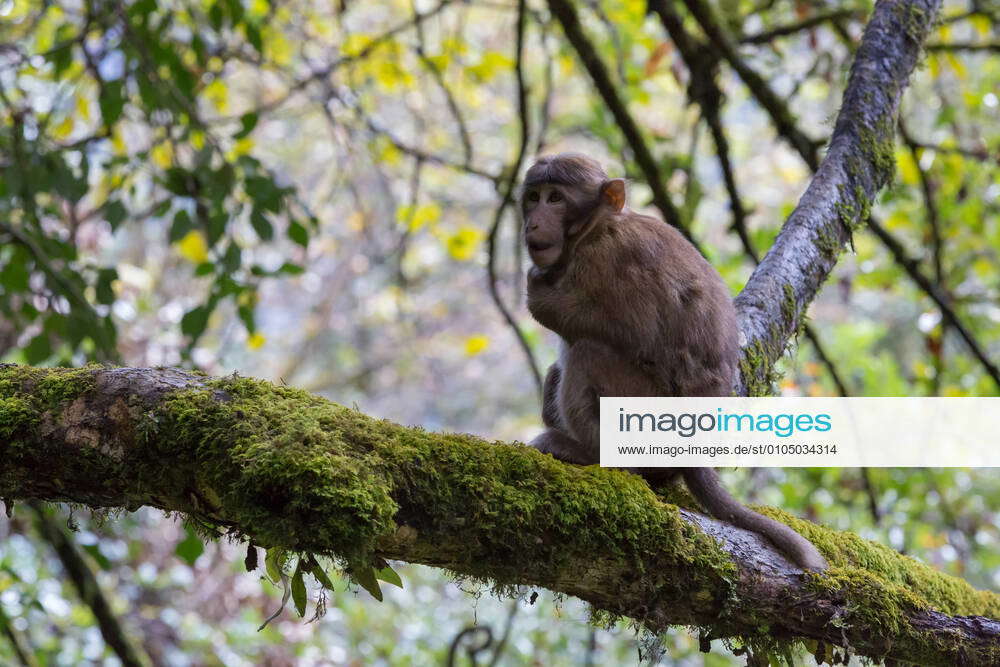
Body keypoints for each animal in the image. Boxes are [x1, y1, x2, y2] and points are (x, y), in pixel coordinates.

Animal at [521, 152, 827, 572]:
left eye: (555, 198)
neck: (598, 228)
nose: (532, 222)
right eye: (533, 197)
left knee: (586, 351)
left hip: (648, 412)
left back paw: (594, 456)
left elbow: (633, 329)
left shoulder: (608, 258)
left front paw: (538, 289)